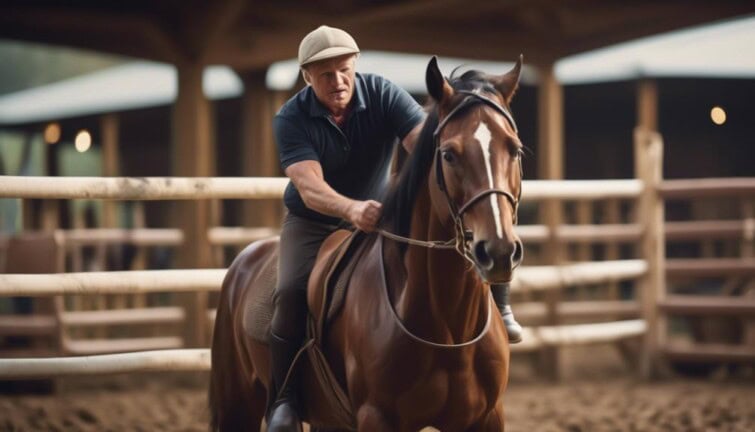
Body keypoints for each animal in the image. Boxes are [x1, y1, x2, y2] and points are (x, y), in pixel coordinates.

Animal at [209, 55, 525, 432]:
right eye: (449, 154)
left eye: (515, 149)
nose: (498, 252)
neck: (448, 327)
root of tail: (244, 260)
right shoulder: (377, 416)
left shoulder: (485, 418)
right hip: (237, 405)